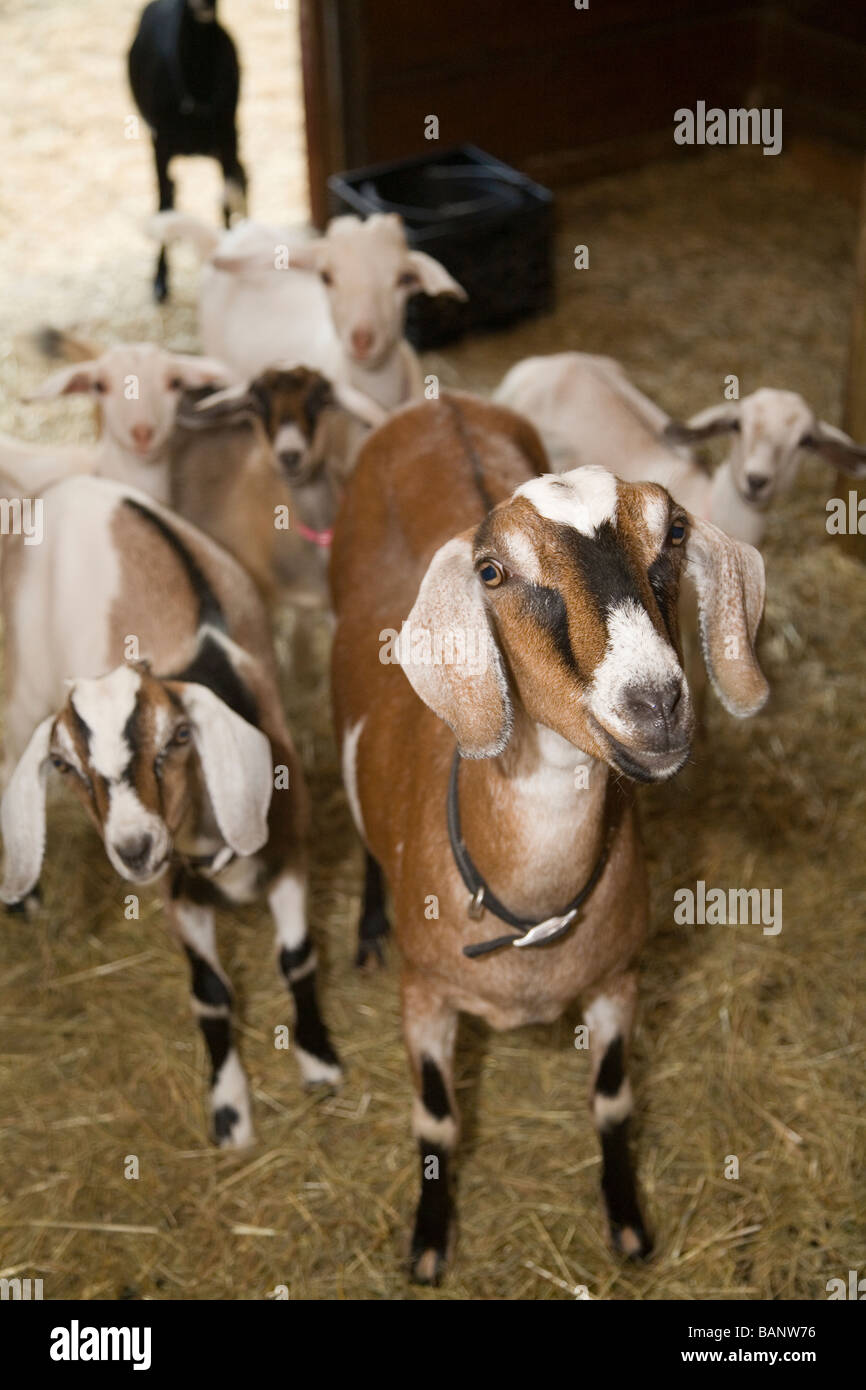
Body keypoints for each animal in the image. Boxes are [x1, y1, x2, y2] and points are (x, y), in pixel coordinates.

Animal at [0, 476, 341, 1145]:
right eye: (65, 767)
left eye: (179, 738)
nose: (135, 848)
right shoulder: (175, 892)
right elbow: (210, 991)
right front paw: (230, 1111)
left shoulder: (293, 855)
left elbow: (296, 958)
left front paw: (319, 1062)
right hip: (20, 689)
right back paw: (23, 898)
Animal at [128, 0, 247, 301]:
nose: (203, 5)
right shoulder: (159, 144)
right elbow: (163, 202)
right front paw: (160, 280)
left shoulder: (228, 138)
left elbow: (227, 199)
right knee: (170, 191)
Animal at [330, 392, 768, 1283]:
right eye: (492, 571)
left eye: (674, 531)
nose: (653, 703)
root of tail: (440, 402)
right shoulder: (425, 995)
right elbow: (436, 1119)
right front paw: (429, 1244)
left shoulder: (619, 979)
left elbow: (613, 1101)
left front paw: (629, 1224)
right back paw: (367, 925)